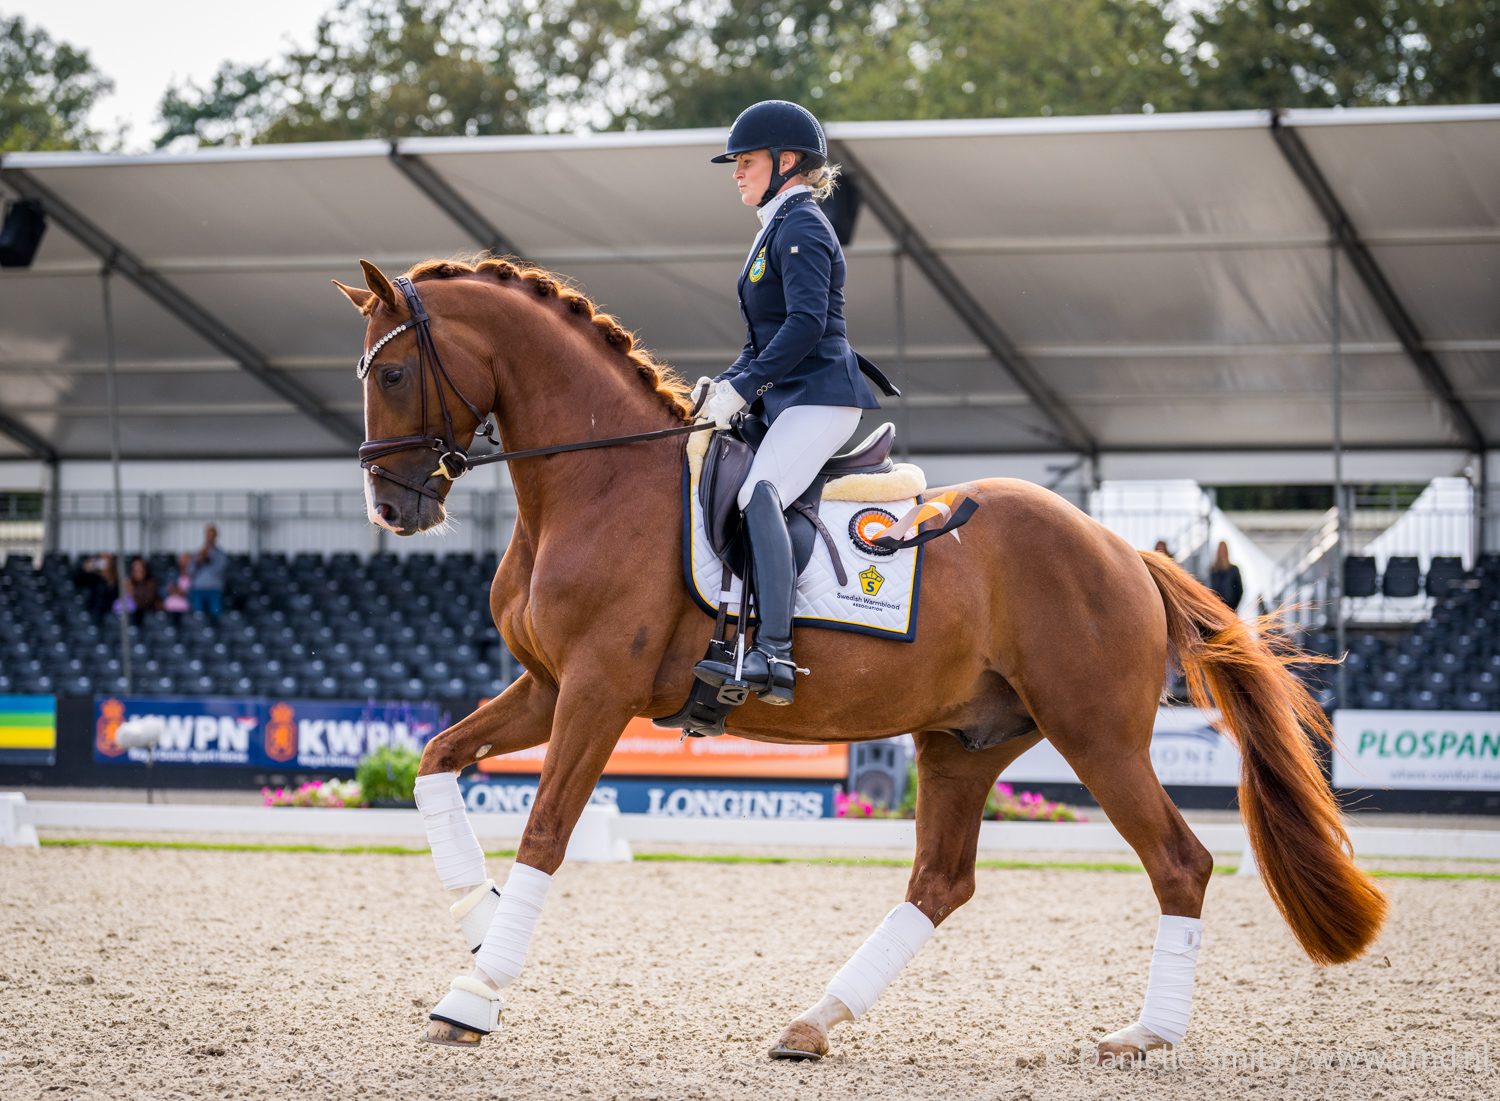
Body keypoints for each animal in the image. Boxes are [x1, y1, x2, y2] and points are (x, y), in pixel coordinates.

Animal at [333, 256, 1386, 1063]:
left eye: (393, 376)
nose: (390, 507)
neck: (597, 478)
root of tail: (1124, 548)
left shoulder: (597, 690)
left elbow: (548, 831)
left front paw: (475, 993)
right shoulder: (549, 686)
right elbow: (433, 762)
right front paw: (479, 923)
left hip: (1096, 735)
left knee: (1180, 860)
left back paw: (1146, 1035)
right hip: (967, 739)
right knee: (941, 881)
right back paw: (814, 1020)